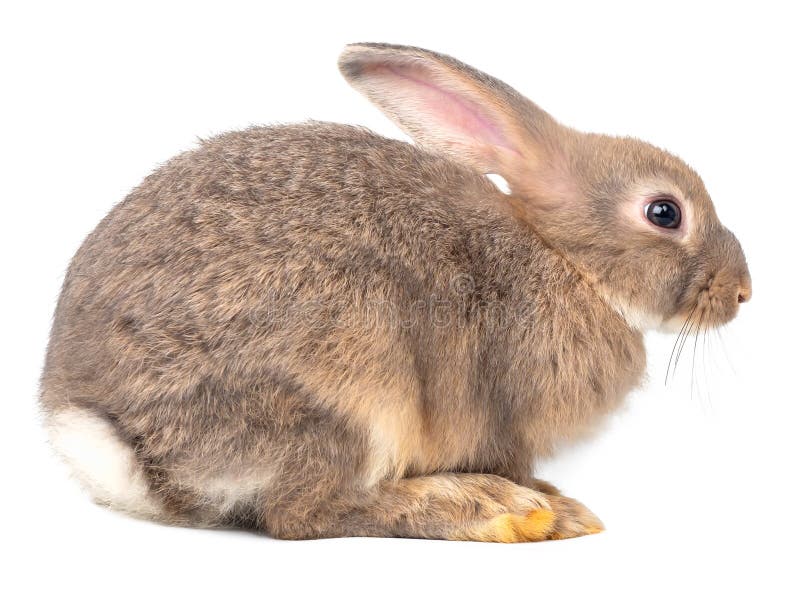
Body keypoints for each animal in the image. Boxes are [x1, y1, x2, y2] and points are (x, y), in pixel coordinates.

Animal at [40, 42, 751, 542]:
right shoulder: (506, 419)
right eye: (665, 213)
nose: (743, 291)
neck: (564, 257)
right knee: (304, 513)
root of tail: (129, 451)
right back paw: (487, 510)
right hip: (350, 398)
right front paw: (556, 507)